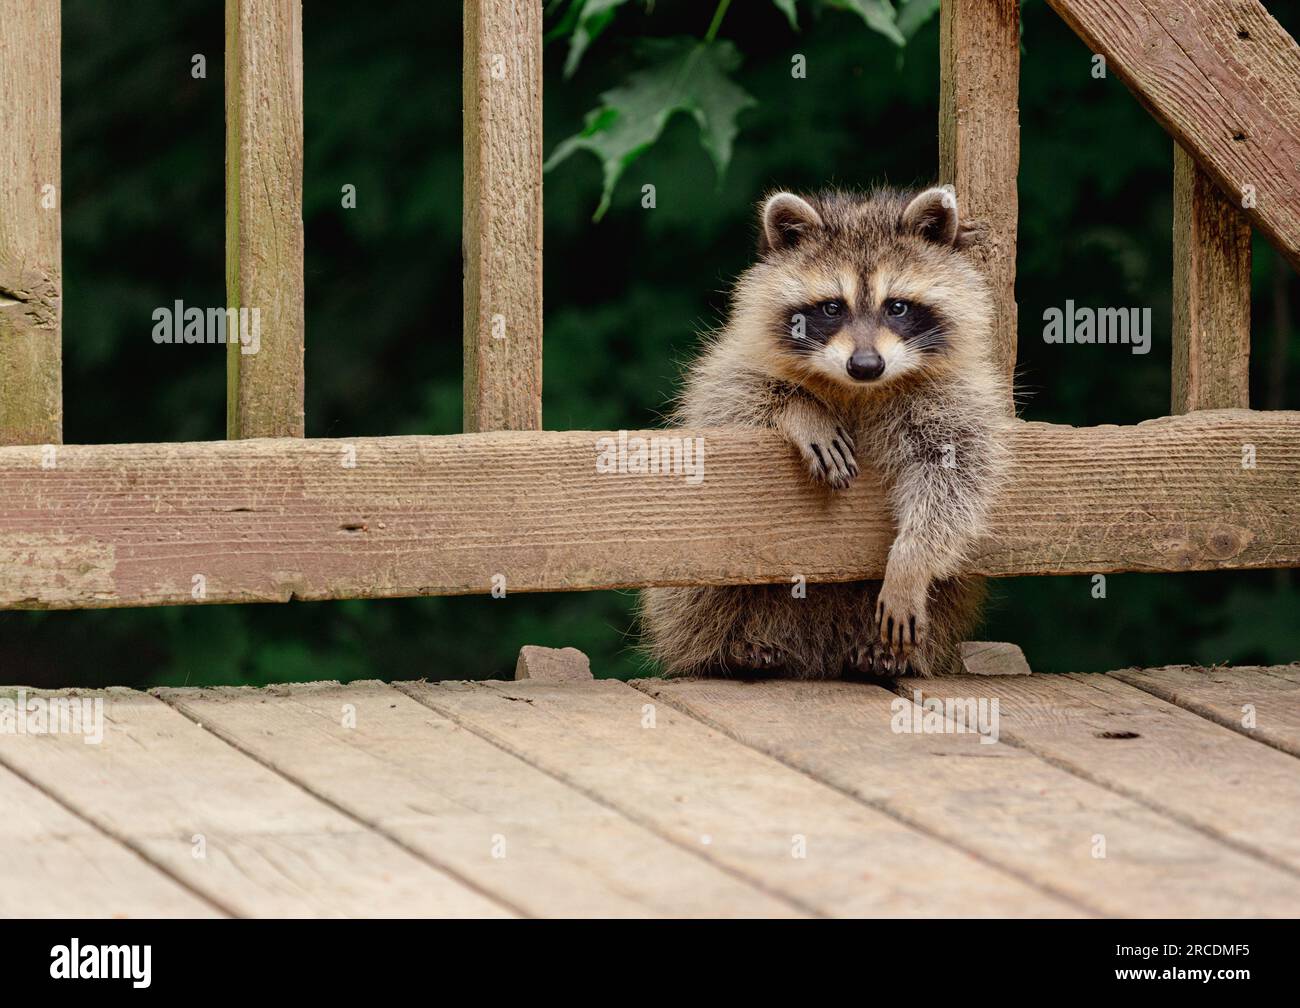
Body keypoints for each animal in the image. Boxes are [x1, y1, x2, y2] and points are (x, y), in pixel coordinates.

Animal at [640, 186, 1010, 678]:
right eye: (833, 307)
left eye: (897, 307)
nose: (866, 365)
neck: (860, 389)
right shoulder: (730, 370)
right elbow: (729, 406)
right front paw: (801, 410)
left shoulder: (953, 395)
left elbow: (957, 473)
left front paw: (911, 559)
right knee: (698, 594)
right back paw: (728, 649)